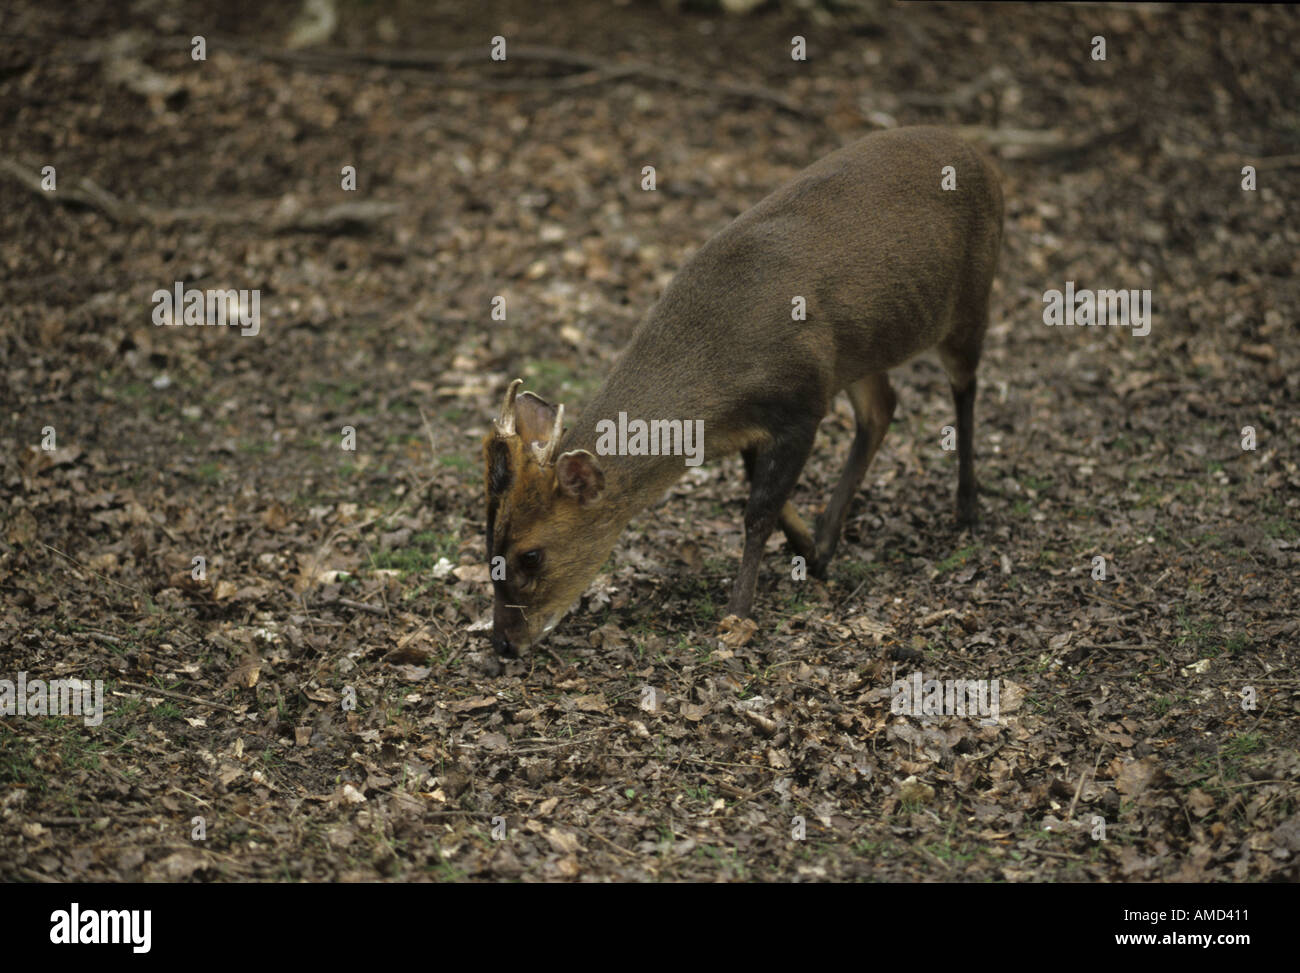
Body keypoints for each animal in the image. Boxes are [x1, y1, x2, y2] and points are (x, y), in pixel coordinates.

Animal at [481, 126, 1003, 656]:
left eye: (530, 556)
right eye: (489, 546)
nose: (503, 643)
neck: (717, 395)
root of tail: (977, 153)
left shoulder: (802, 402)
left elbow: (758, 512)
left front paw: (738, 613)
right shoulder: (765, 419)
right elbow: (759, 487)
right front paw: (813, 551)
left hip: (972, 294)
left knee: (965, 387)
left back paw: (967, 507)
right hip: (863, 347)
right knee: (881, 409)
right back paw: (832, 534)